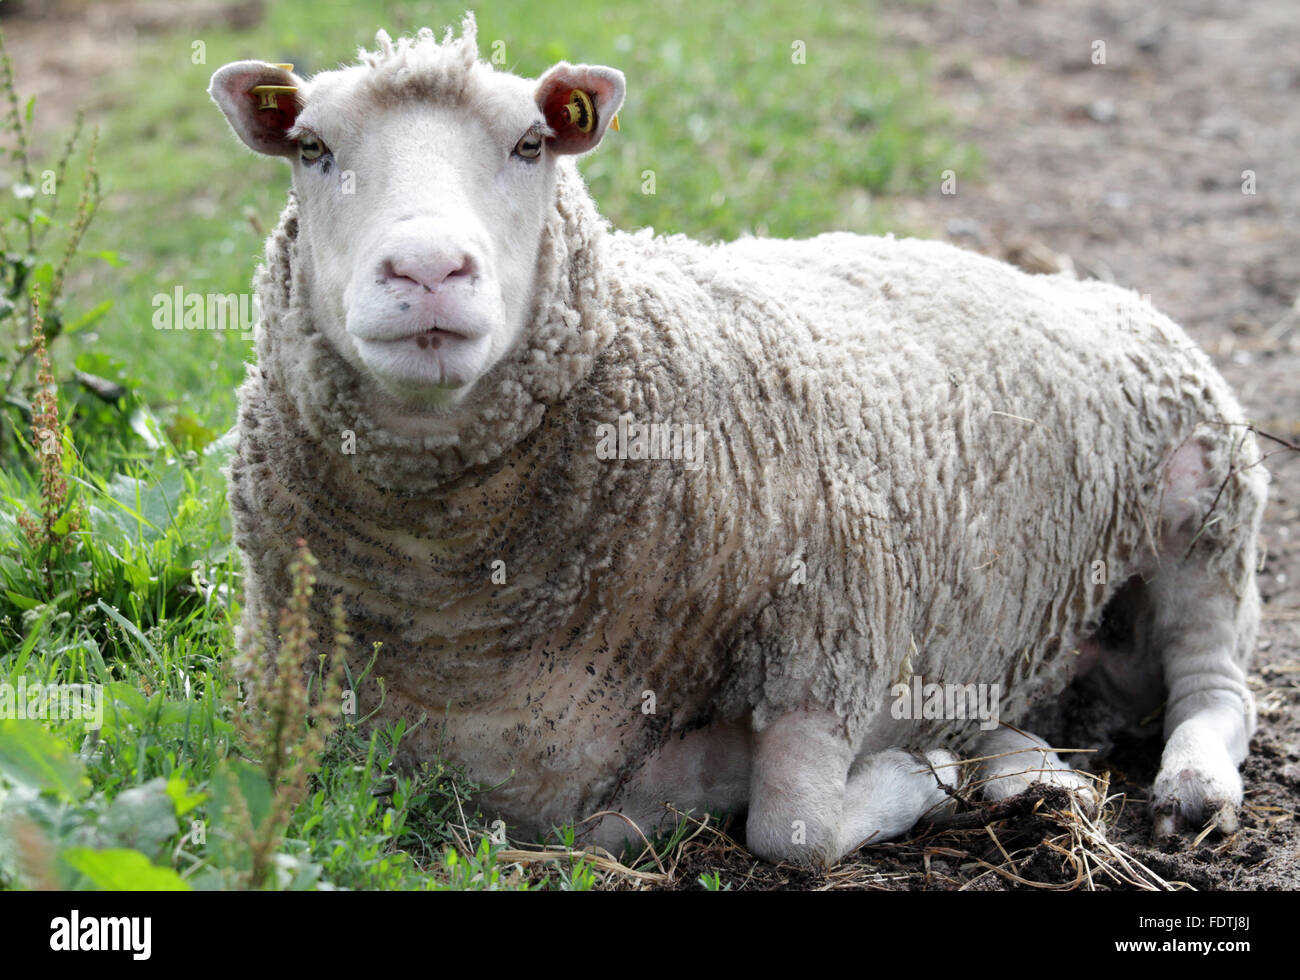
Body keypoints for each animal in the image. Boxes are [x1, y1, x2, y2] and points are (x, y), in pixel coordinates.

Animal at [209, 14, 1268, 867]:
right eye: (311, 148)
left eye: (530, 144)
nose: (428, 269)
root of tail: (1081, 283)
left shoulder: (835, 621)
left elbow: (792, 828)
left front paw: (913, 779)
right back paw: (1029, 769)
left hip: (1209, 501)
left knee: (1217, 684)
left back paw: (1188, 787)